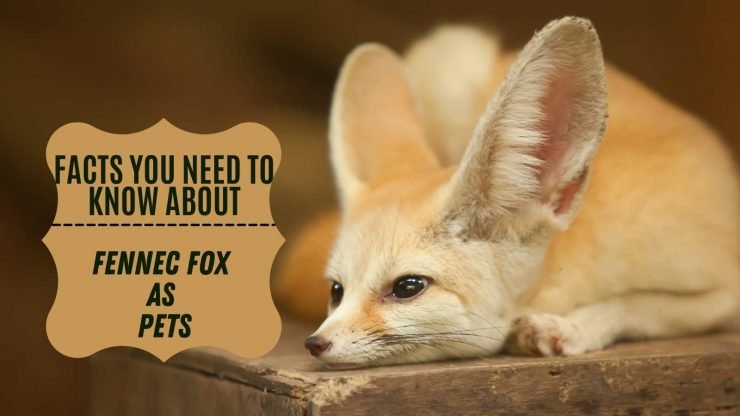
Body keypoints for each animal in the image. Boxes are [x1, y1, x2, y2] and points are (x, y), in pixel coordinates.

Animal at [274, 17, 740, 366]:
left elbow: (638, 306)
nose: (314, 343)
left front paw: (571, 327)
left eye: (407, 287)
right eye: (336, 290)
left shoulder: (725, 293)